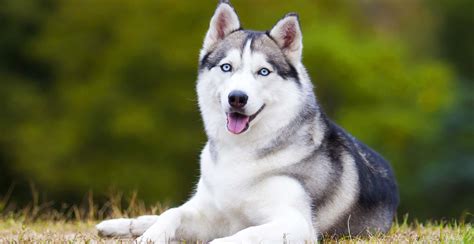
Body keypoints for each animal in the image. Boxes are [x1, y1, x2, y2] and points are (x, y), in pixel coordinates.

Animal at [97, 1, 400, 242]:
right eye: (226, 67)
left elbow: (241, 235)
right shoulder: (213, 213)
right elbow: (172, 214)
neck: (240, 154)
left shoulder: (296, 223)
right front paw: (149, 236)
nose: (237, 98)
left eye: (263, 71)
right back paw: (119, 225)